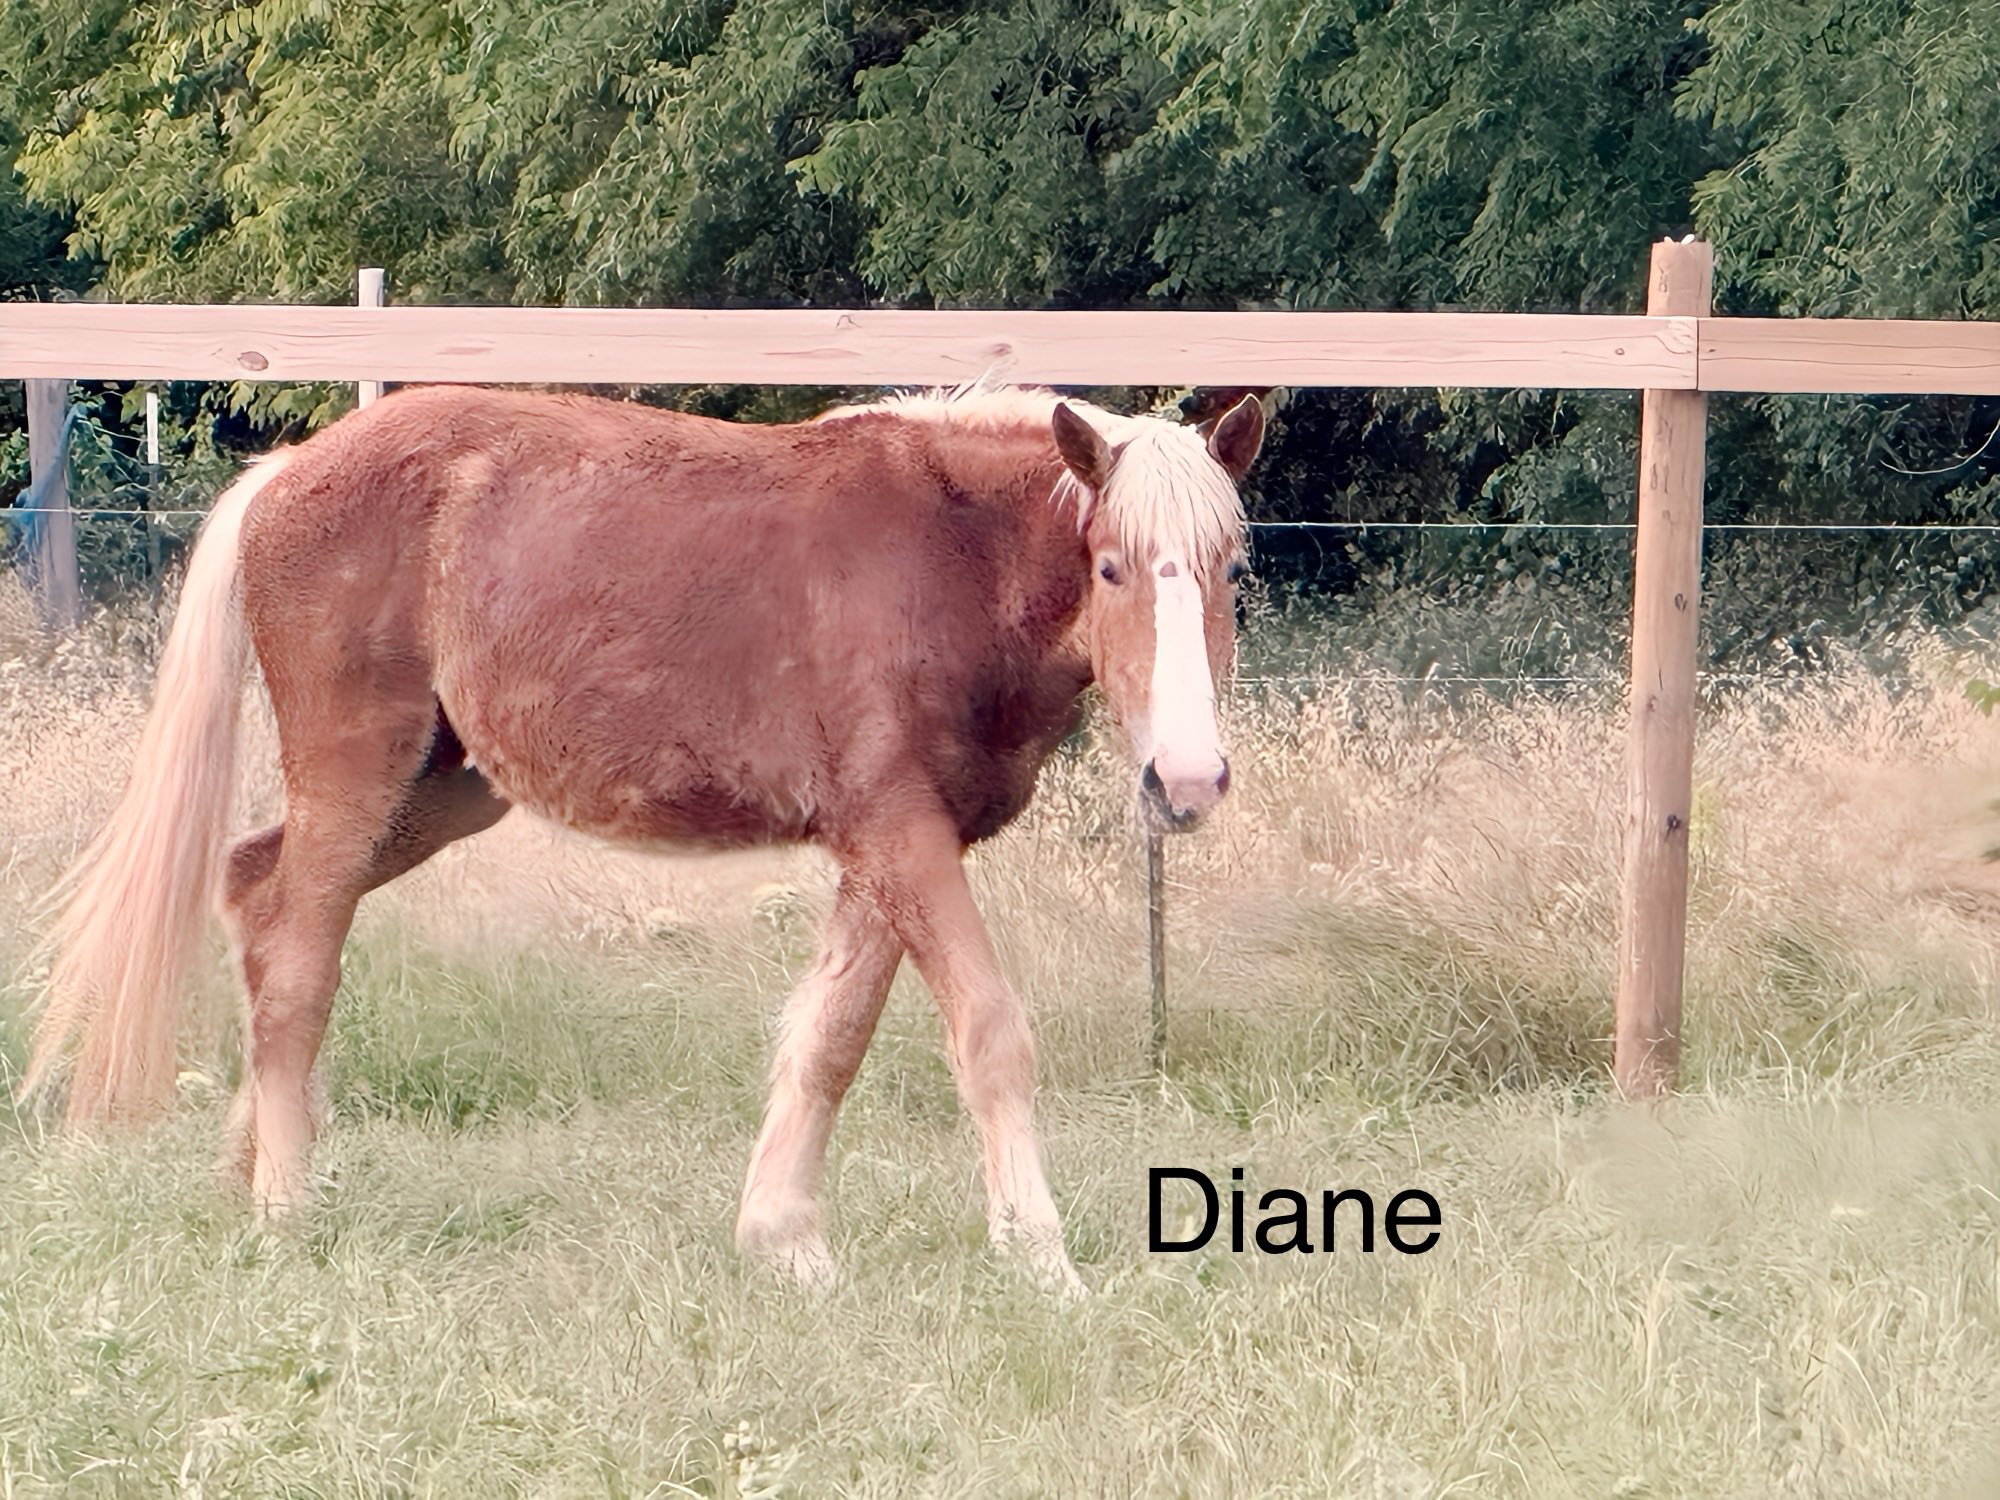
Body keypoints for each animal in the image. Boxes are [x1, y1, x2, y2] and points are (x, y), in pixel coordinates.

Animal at [23, 382, 1263, 1292]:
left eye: (1228, 570)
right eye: (1109, 566)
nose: (1186, 779)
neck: (945, 557)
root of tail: (285, 472)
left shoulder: (892, 847)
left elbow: (827, 1038)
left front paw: (784, 1242)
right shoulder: (899, 837)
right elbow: (990, 1034)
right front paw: (1044, 1264)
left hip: (441, 789)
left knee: (255, 895)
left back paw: (237, 1179)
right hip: (354, 773)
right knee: (297, 969)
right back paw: (284, 1211)